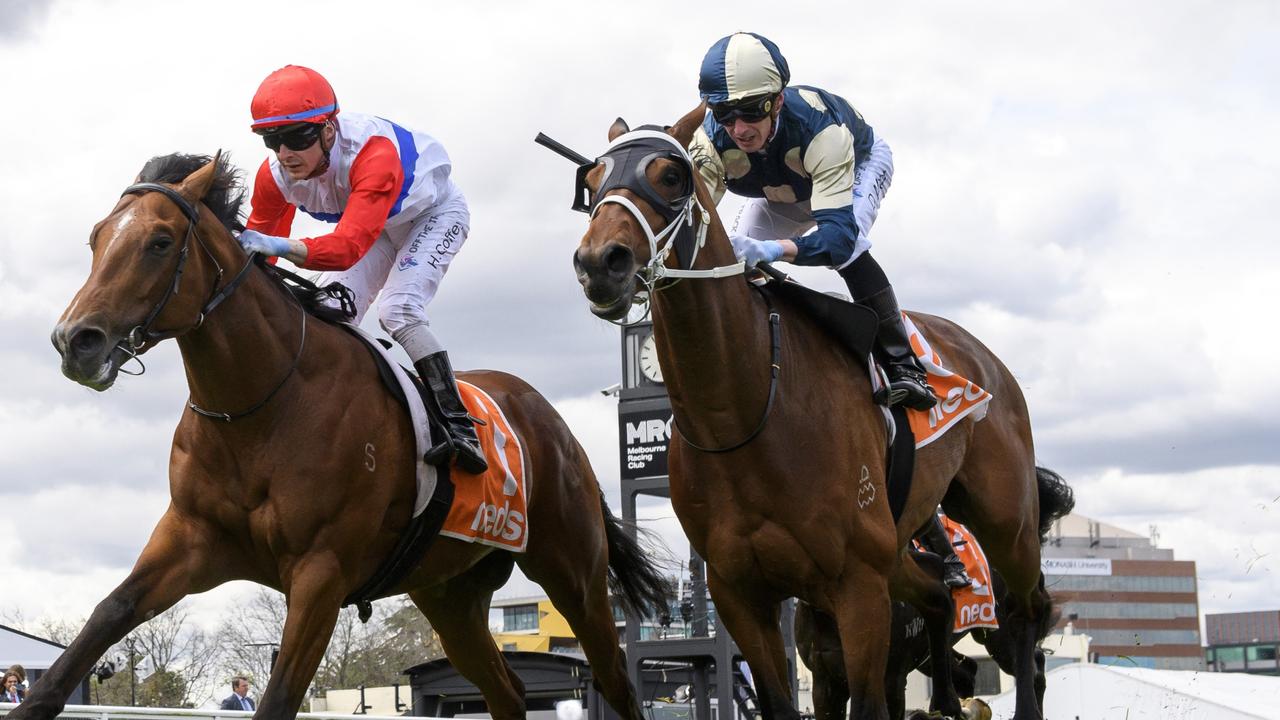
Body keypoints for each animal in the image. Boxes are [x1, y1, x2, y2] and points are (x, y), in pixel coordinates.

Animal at [29, 153, 669, 720]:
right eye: (95, 238)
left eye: (160, 242)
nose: (74, 340)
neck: (260, 408)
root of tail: (552, 421)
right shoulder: (189, 542)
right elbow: (97, 627)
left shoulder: (321, 572)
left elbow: (278, 700)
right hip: (451, 595)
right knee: (507, 691)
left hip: (573, 573)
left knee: (617, 682)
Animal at [569, 107, 1071, 720]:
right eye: (592, 183)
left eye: (669, 176)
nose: (600, 263)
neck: (743, 414)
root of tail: (985, 358)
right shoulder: (741, 594)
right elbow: (781, 702)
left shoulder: (857, 586)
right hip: (900, 553)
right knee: (938, 601)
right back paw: (948, 700)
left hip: (1004, 520)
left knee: (1026, 618)